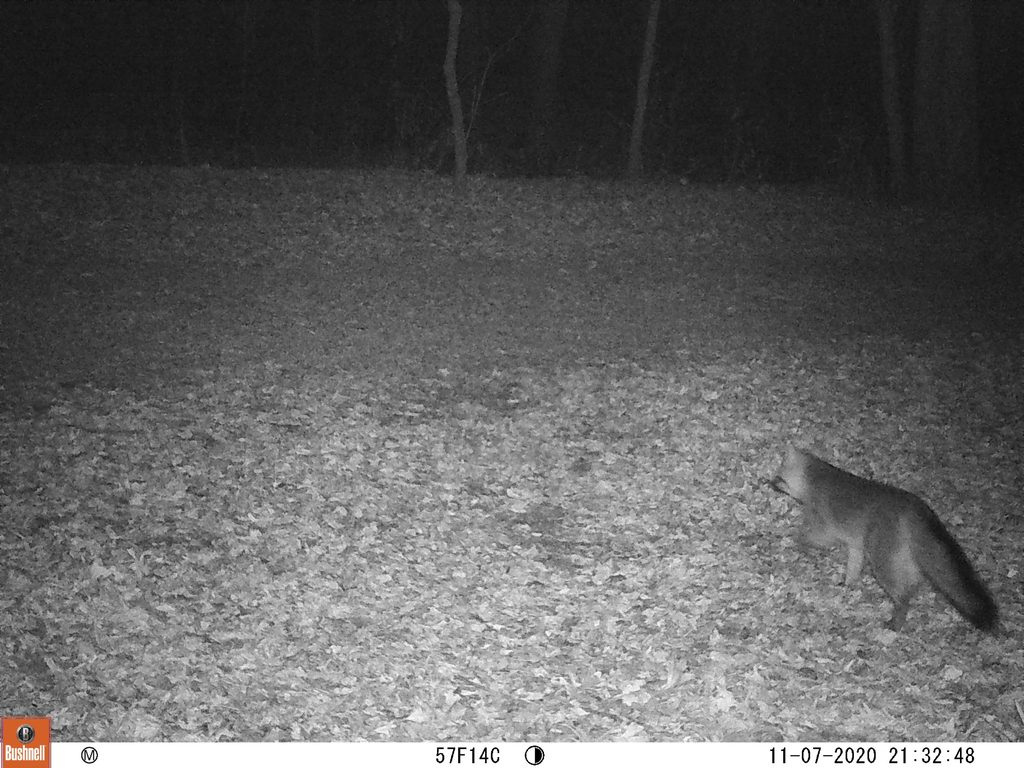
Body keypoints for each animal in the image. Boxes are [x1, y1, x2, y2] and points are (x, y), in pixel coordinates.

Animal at [767, 446, 999, 632]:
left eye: (778, 476)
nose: (768, 483)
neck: (815, 477)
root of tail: (917, 506)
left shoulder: (824, 525)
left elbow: (805, 537)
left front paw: (797, 543)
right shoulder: (856, 545)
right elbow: (853, 566)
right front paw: (848, 583)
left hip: (882, 560)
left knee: (902, 594)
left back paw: (896, 623)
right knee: (913, 585)